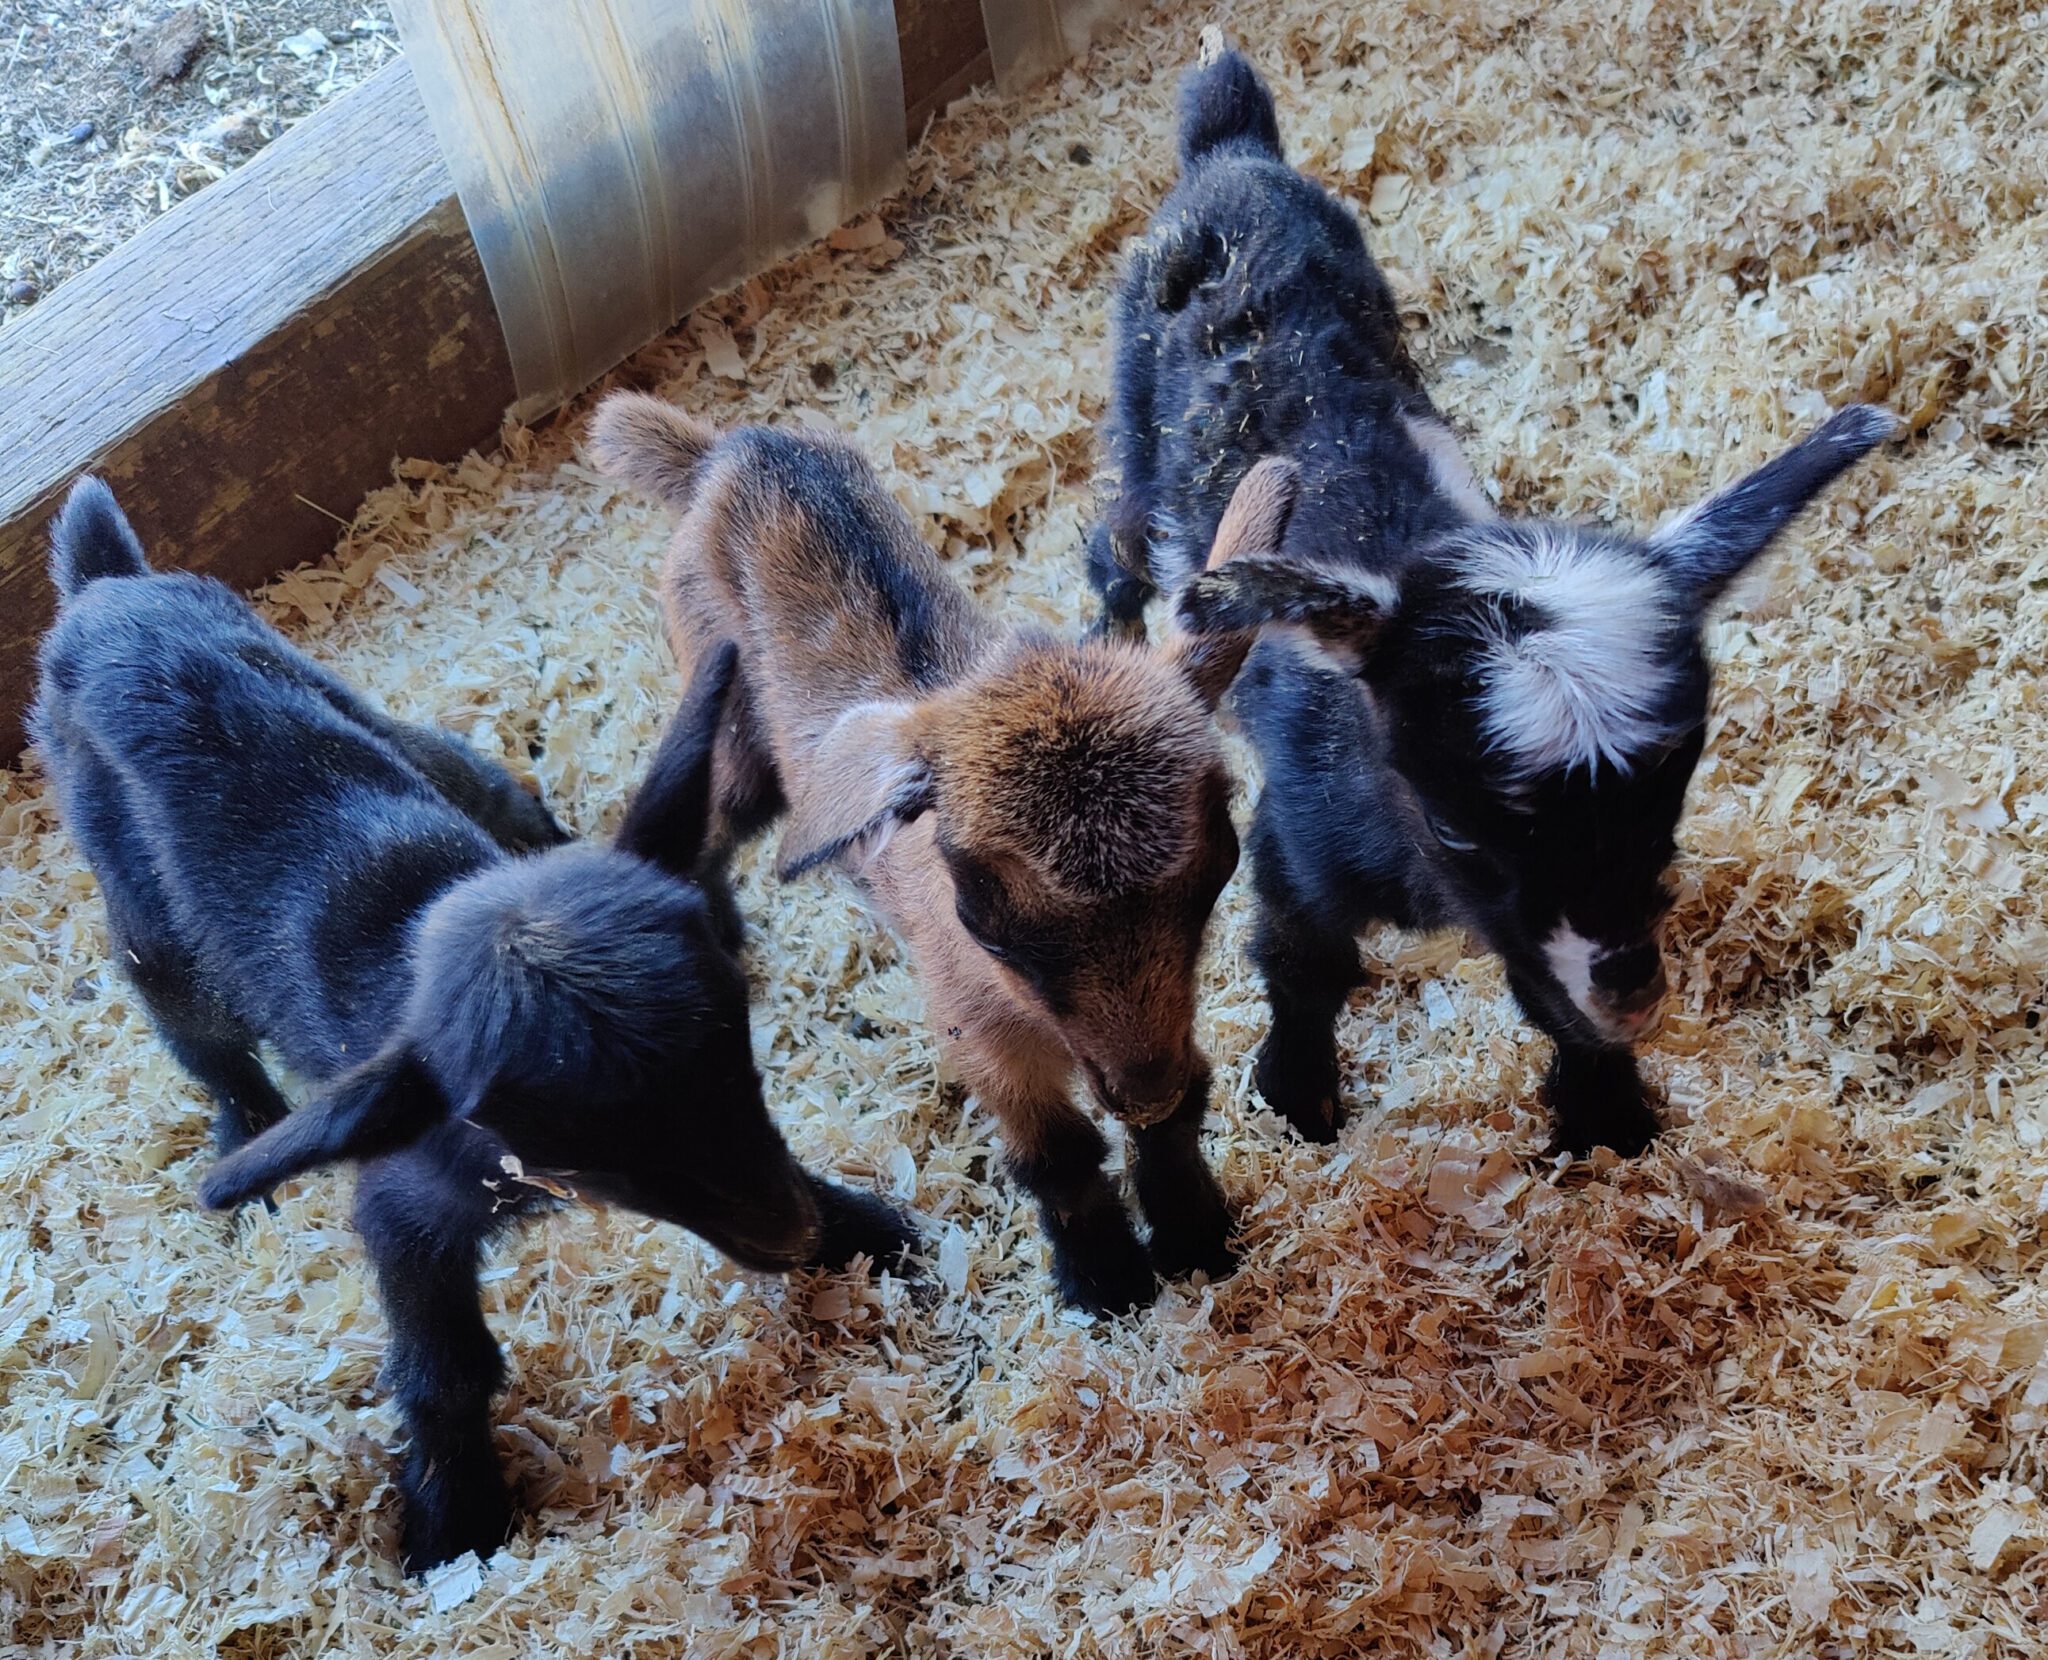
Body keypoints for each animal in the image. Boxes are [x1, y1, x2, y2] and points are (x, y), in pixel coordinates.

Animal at [33, 478, 916, 1571]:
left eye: (739, 1053)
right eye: (590, 1151)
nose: (791, 1235)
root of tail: (106, 588)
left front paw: (862, 1228)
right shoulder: (405, 1202)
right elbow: (443, 1365)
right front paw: (453, 1513)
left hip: (362, 711)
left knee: (475, 775)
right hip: (146, 921)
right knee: (194, 1028)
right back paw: (246, 1124)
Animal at [591, 395, 1271, 1316]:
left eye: (1219, 868)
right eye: (985, 915)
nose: (1143, 1086)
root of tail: (725, 450)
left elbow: (1172, 1115)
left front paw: (1195, 1234)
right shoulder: (975, 1024)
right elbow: (1056, 1154)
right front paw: (1104, 1279)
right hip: (723, 707)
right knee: (712, 821)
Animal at [1085, 43, 1896, 1158]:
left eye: (1669, 804)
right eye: (1457, 826)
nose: (1632, 997)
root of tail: (1230, 147)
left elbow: (1543, 991)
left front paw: (1605, 1107)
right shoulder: (1297, 834)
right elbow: (1302, 958)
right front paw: (1295, 1095)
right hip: (1134, 428)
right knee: (1113, 537)